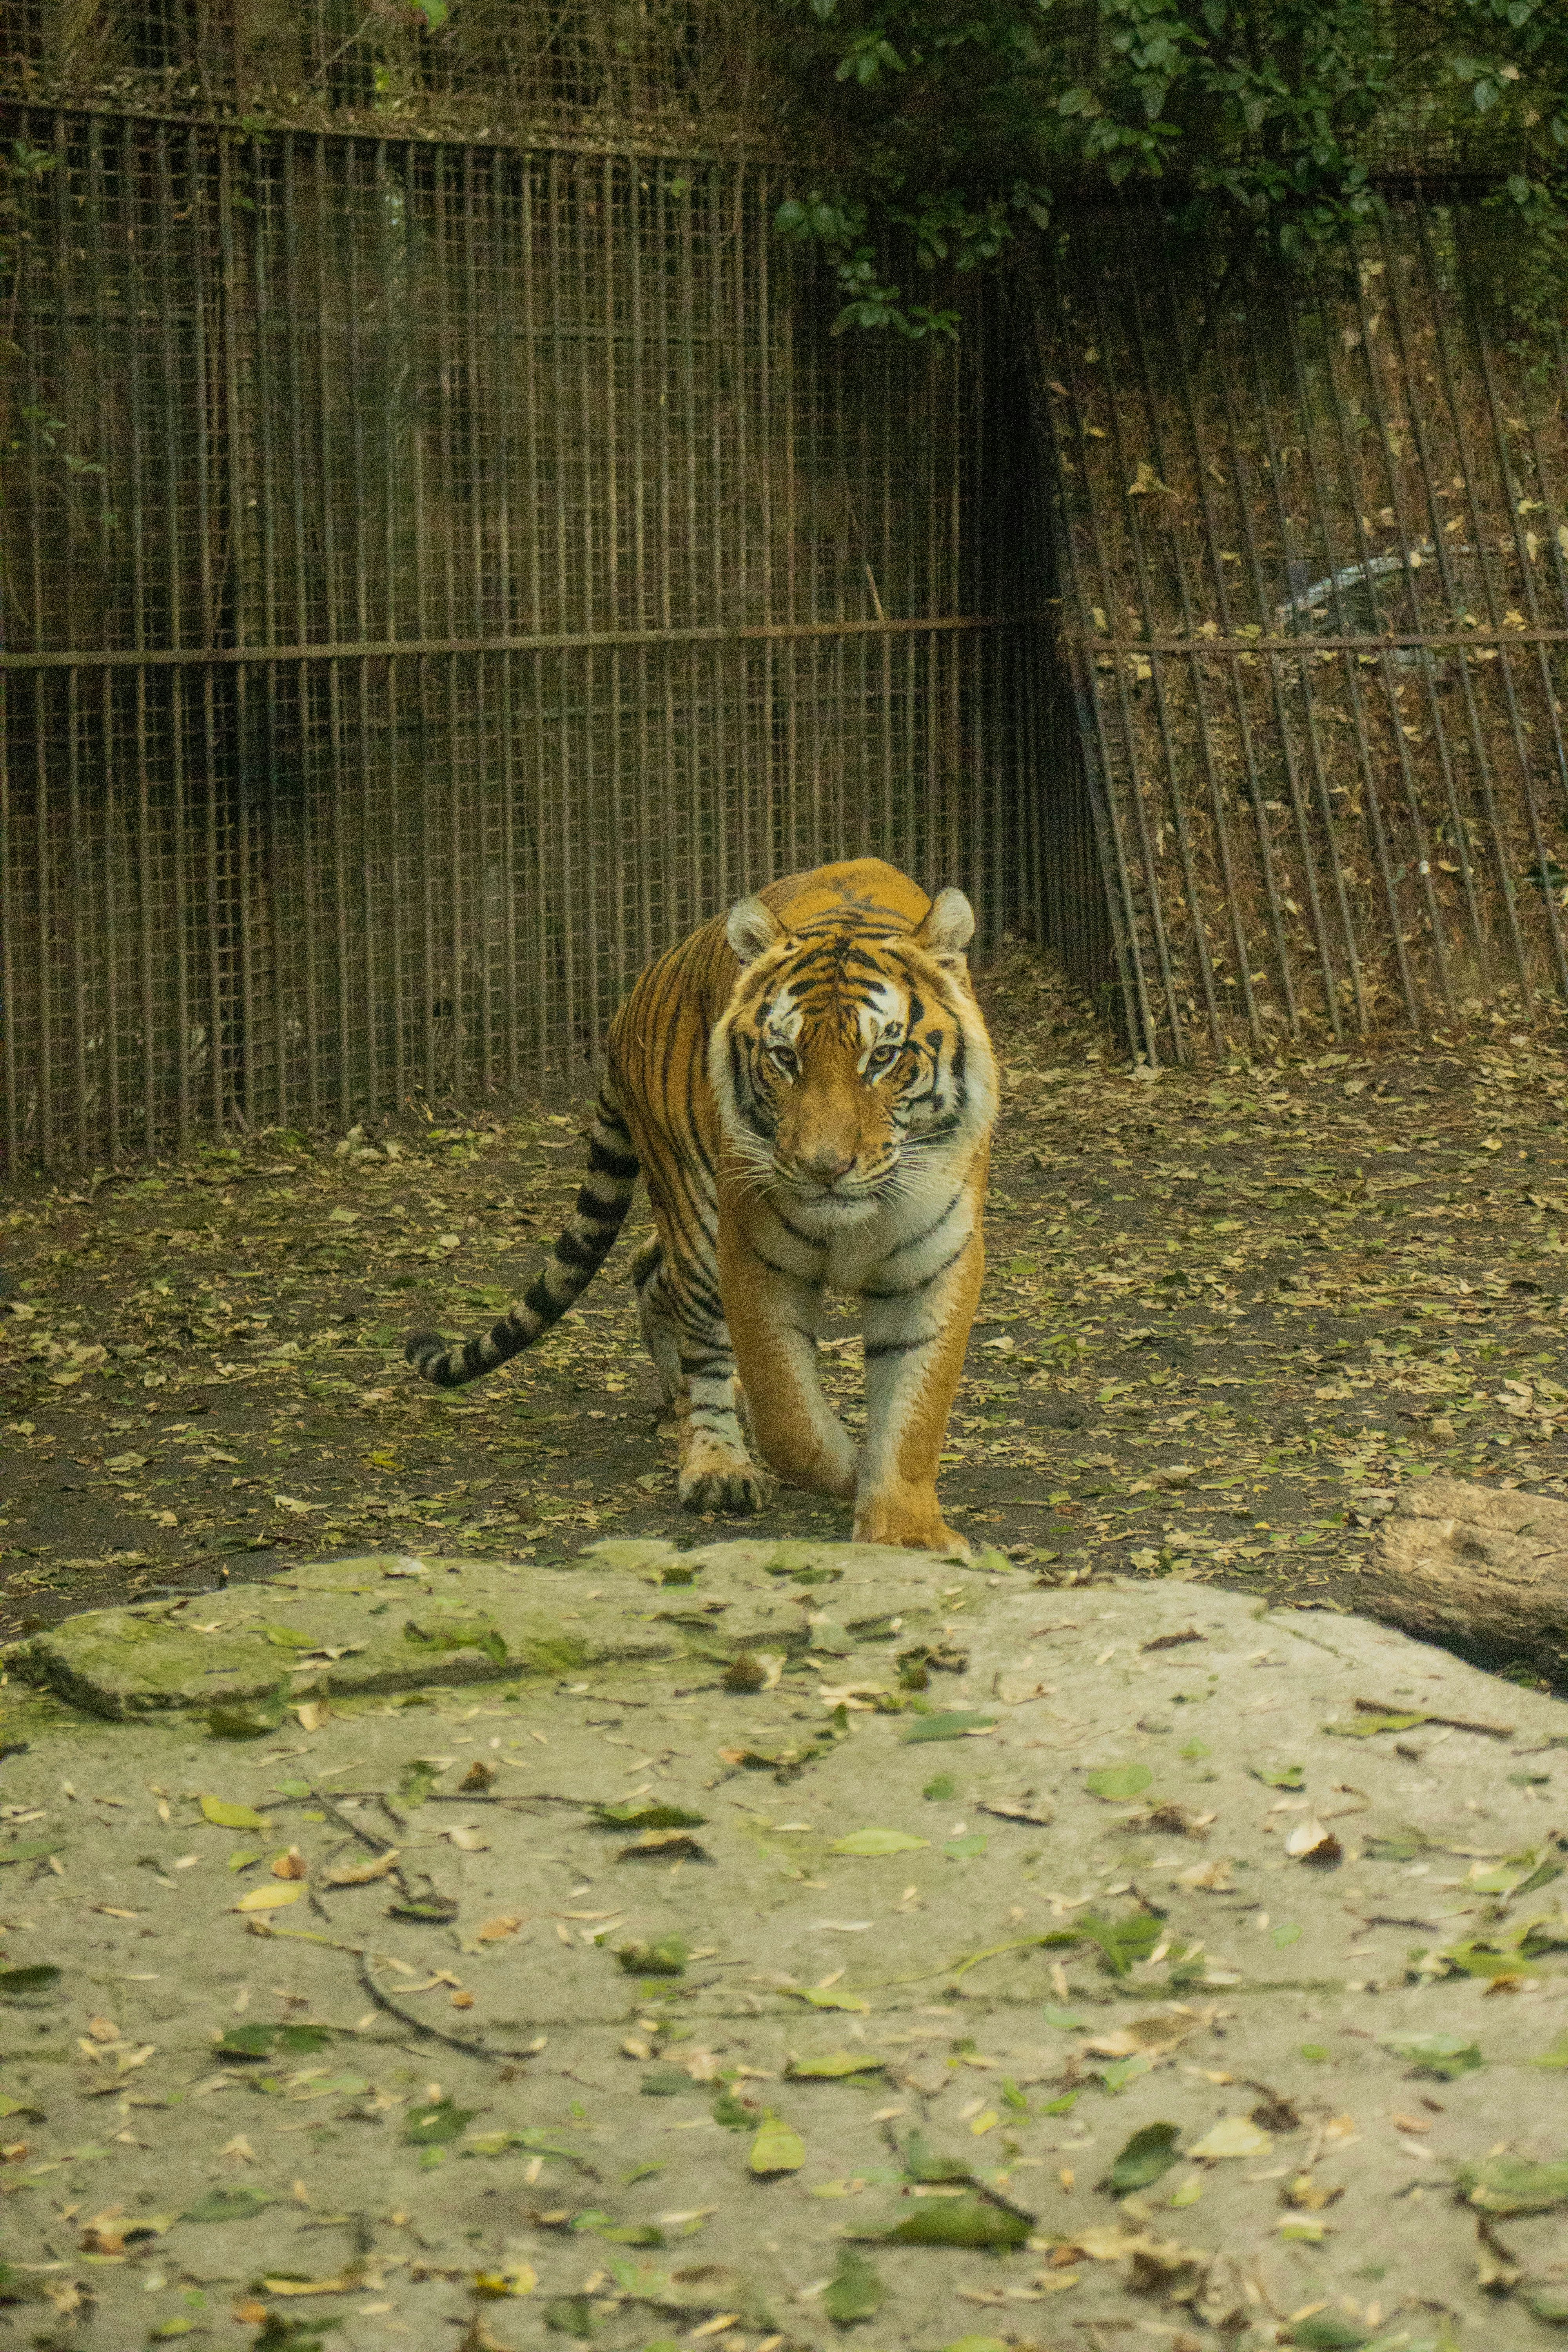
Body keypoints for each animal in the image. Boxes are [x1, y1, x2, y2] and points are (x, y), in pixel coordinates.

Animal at [406, 857, 999, 1555]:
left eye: (883, 1057)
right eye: (785, 1057)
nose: (824, 1169)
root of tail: (628, 1003)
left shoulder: (935, 1264)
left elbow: (915, 1410)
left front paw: (908, 1534)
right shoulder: (754, 1255)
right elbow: (788, 1413)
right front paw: (846, 1470)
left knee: (647, 1268)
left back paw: (675, 1395)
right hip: (696, 1208)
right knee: (701, 1338)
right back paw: (717, 1465)